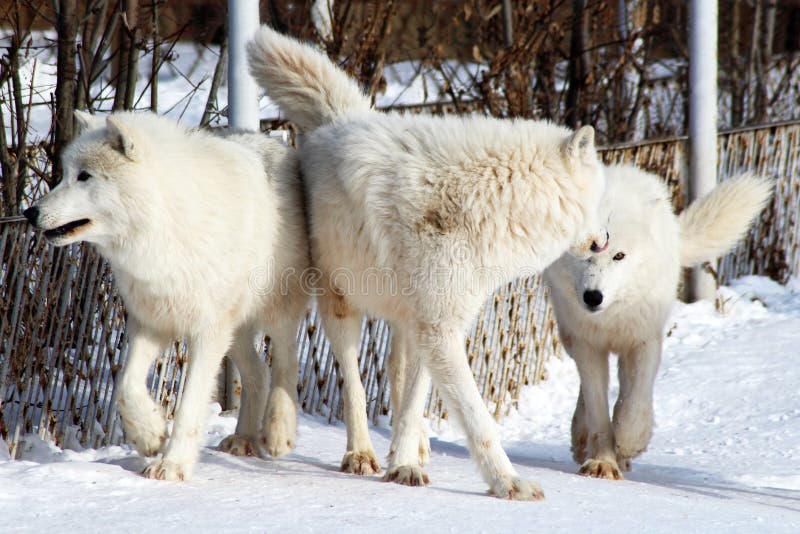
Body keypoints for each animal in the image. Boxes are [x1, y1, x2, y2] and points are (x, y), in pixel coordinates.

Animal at [24, 111, 309, 481]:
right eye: (66, 174)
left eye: (84, 176)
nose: (30, 213)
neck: (165, 227)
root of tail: (272, 141)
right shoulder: (150, 323)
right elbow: (126, 386)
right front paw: (150, 435)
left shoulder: (206, 333)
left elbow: (188, 407)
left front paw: (172, 465)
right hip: (234, 331)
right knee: (258, 372)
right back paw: (242, 439)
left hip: (274, 312)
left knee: (286, 362)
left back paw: (277, 433)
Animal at [248, 26, 609, 500]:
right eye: (601, 200)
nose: (605, 240)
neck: (488, 200)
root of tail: (340, 119)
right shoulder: (439, 328)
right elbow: (478, 420)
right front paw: (508, 482)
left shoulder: (438, 324)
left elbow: (414, 402)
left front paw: (404, 465)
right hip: (341, 305)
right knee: (352, 381)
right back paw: (358, 453)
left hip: (404, 320)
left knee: (399, 377)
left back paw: (413, 450)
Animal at [544, 165, 773, 479]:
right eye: (582, 254)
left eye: (619, 256)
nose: (593, 297)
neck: (612, 315)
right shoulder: (587, 345)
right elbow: (598, 409)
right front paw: (602, 462)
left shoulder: (644, 340)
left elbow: (633, 405)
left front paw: (629, 443)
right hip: (570, 337)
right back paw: (582, 440)